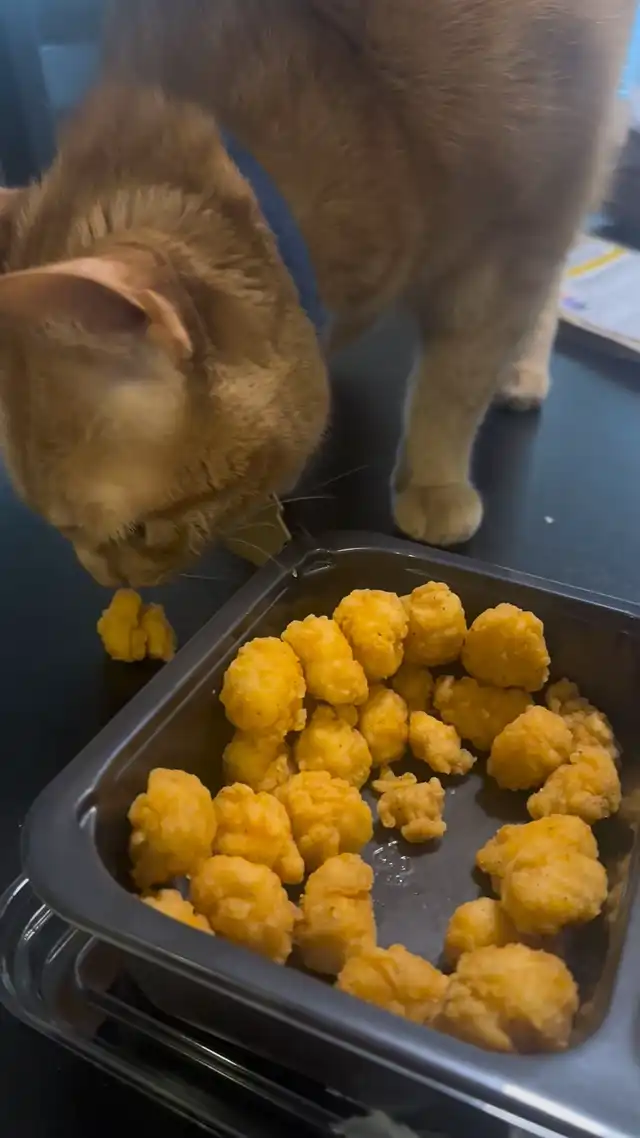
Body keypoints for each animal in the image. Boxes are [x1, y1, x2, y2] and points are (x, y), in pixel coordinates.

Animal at [0, 0, 633, 586]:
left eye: (136, 531)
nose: (106, 581)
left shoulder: (517, 232)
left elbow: (453, 386)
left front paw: (434, 483)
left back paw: (521, 373)